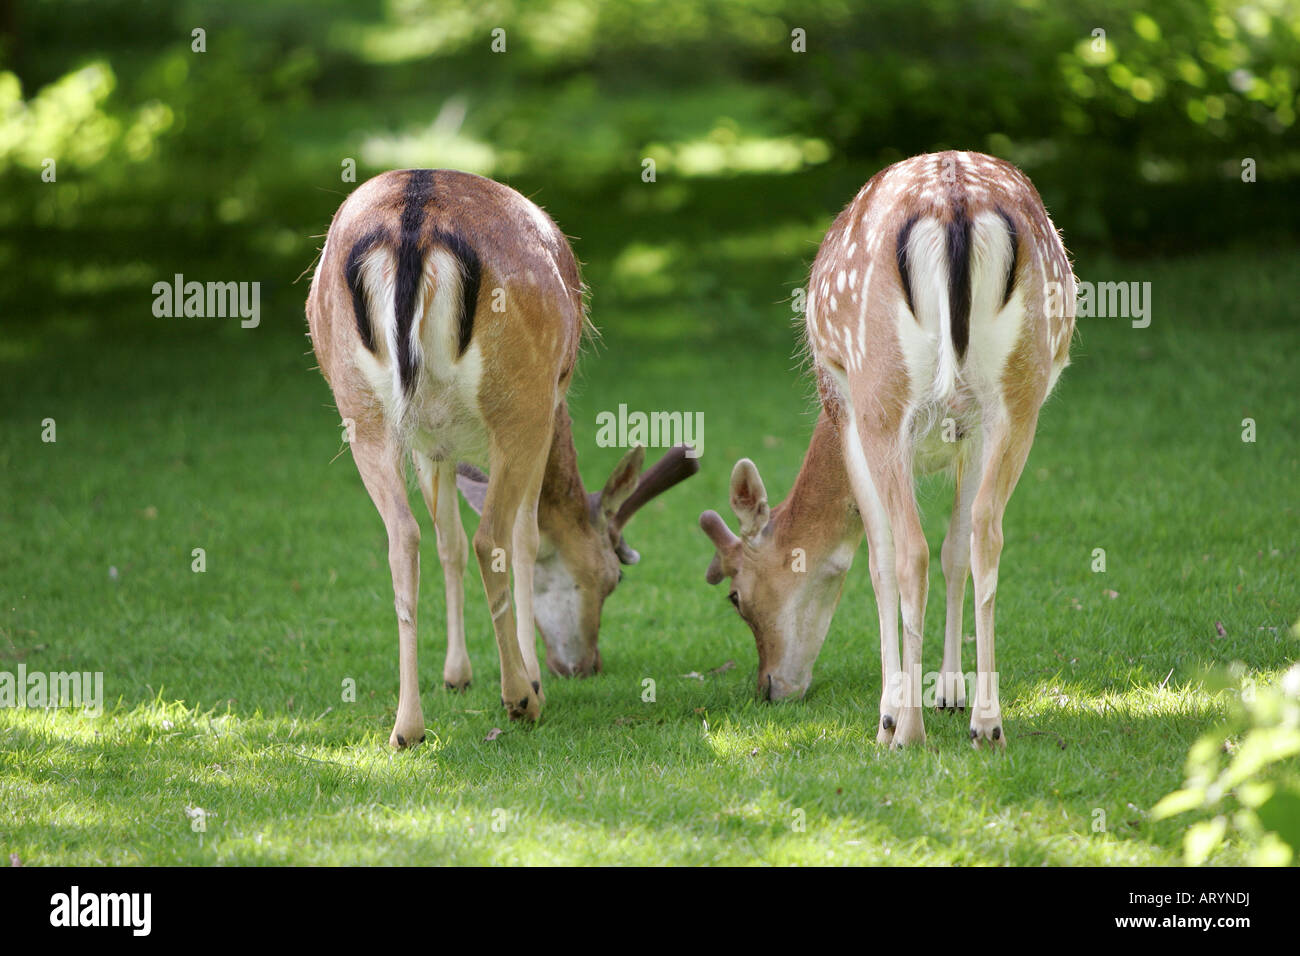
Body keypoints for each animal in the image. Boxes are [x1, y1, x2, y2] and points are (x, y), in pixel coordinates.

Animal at [307, 168, 698, 749]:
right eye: (611, 578)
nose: (586, 666)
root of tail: (413, 222)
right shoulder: (545, 413)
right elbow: (526, 539)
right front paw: (531, 678)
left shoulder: (431, 443)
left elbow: (446, 541)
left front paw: (456, 674)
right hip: (519, 401)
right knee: (490, 537)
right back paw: (520, 700)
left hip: (361, 410)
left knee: (404, 537)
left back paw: (408, 727)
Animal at [699, 151, 1075, 749]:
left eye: (736, 596)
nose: (769, 688)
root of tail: (954, 203)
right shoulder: (968, 432)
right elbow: (956, 548)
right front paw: (950, 691)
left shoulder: (845, 411)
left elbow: (877, 558)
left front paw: (894, 707)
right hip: (1019, 399)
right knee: (986, 531)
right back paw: (987, 724)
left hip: (880, 389)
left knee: (909, 550)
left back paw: (906, 732)